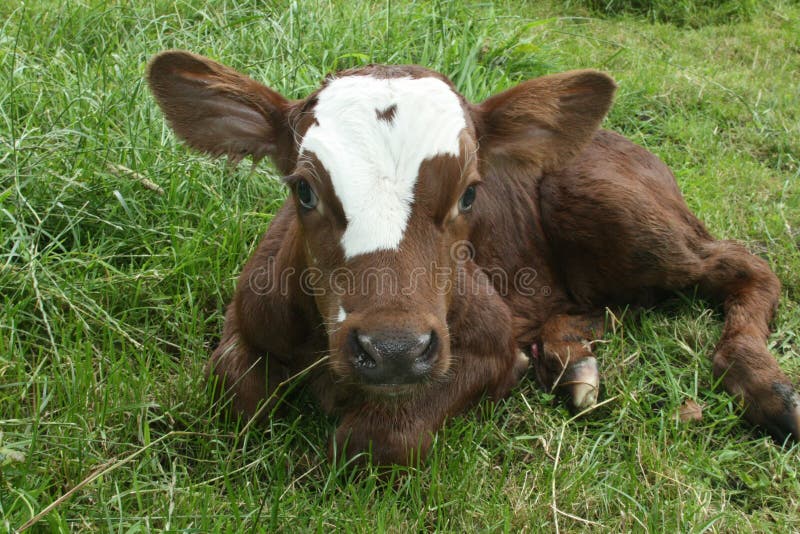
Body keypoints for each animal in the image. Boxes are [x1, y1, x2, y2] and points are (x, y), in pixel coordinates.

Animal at [147, 50, 799, 465]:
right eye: (303, 189)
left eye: (469, 192)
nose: (393, 350)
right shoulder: (246, 315)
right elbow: (232, 389)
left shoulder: (487, 339)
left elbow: (371, 442)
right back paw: (573, 362)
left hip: (613, 207)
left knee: (745, 265)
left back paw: (766, 386)